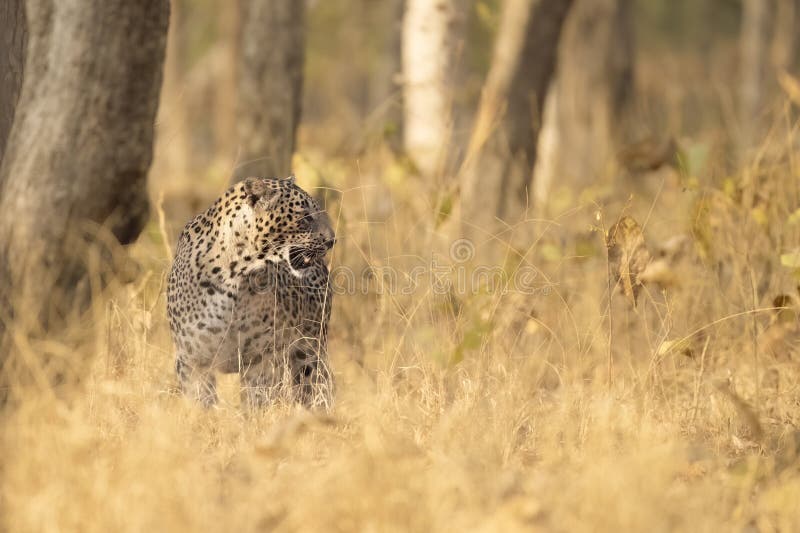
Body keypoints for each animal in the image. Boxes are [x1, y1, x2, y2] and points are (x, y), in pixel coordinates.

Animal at [166, 176, 335, 409]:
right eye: (305, 216)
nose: (332, 240)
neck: (234, 273)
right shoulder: (192, 359)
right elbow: (202, 402)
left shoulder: (261, 359)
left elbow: (257, 401)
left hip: (310, 348)